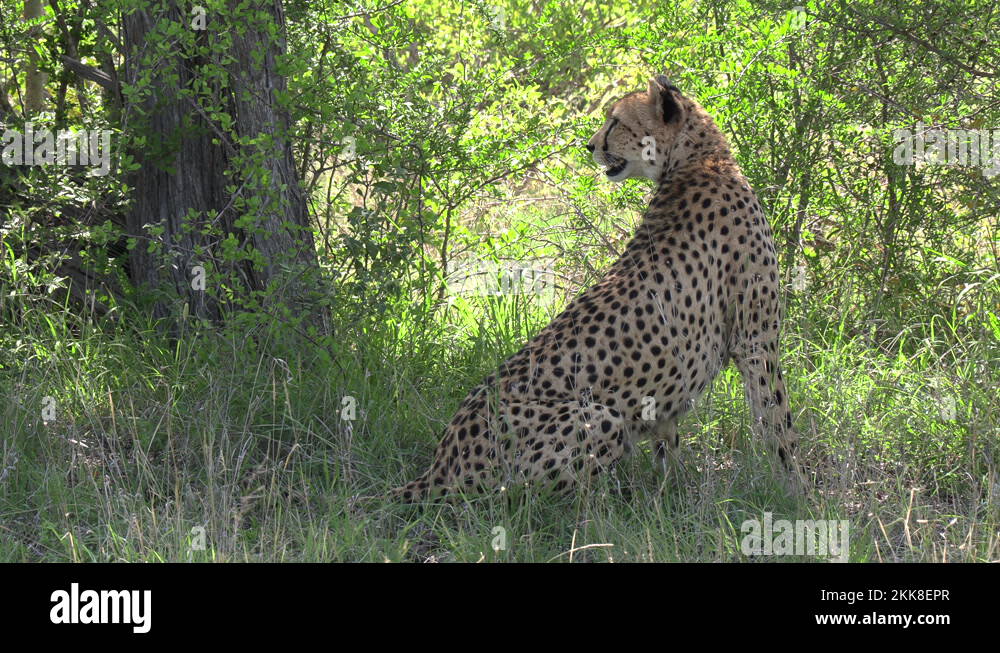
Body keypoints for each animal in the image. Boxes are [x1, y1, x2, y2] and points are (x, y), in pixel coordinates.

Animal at [391, 75, 805, 502]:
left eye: (616, 122)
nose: (589, 146)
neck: (698, 160)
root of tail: (439, 467)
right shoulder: (756, 338)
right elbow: (778, 421)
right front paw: (802, 494)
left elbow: (670, 445)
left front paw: (674, 496)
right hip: (600, 417)